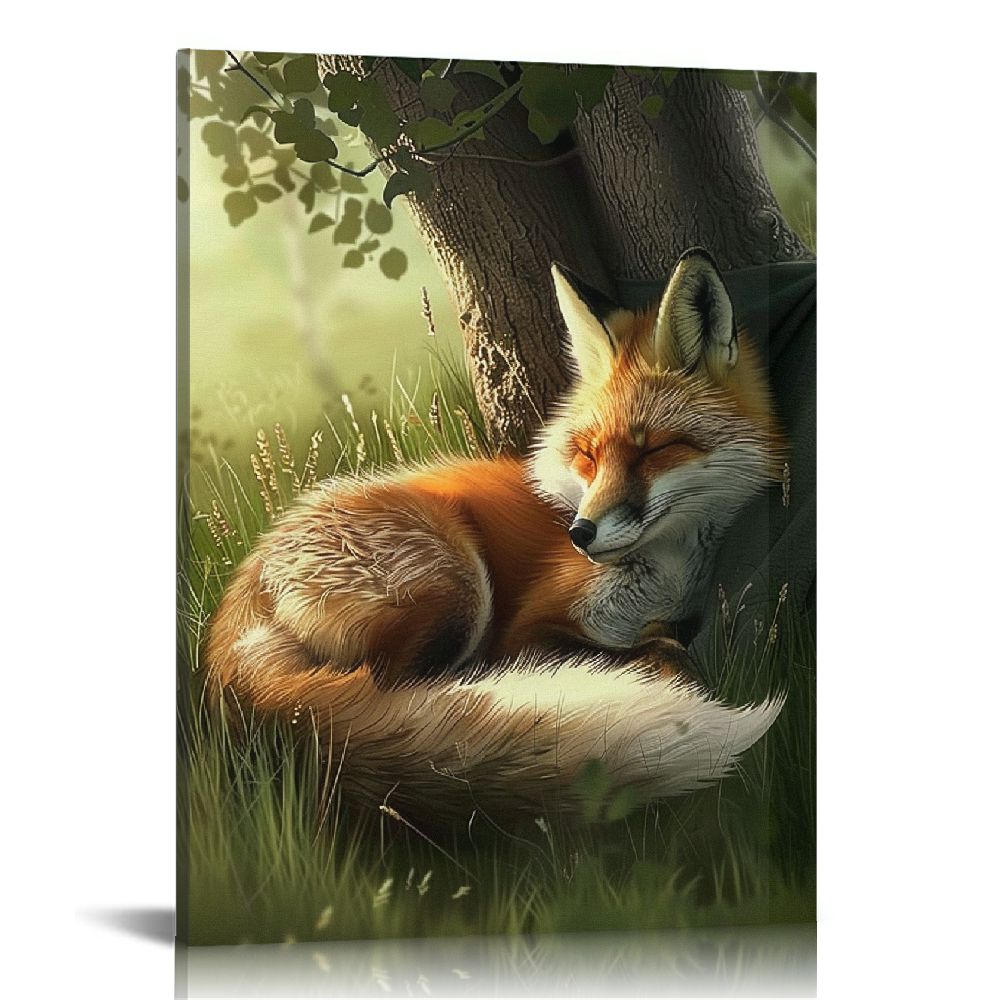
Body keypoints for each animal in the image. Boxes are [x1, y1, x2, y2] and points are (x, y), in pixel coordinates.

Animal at [204, 248, 786, 823]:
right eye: (587, 453)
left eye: (653, 451)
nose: (580, 533)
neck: (667, 573)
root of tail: (245, 586)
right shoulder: (529, 627)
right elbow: (656, 650)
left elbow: (664, 638)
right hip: (454, 587)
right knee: (395, 685)